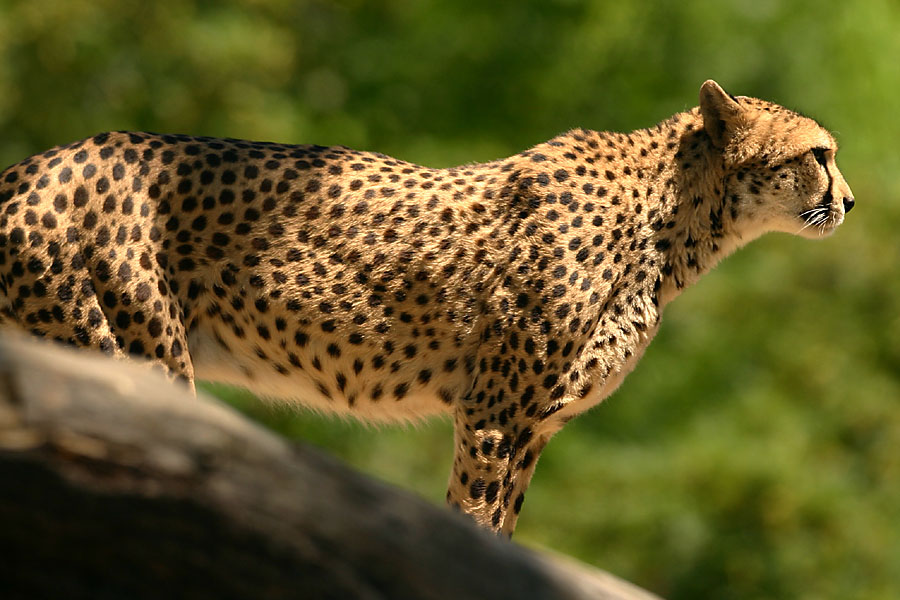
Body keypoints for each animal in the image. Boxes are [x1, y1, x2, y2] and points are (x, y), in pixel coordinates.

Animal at [0, 80, 853, 535]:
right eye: (819, 154)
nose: (849, 200)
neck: (676, 218)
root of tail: (39, 162)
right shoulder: (494, 413)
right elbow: (473, 520)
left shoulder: (531, 426)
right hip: (128, 352)